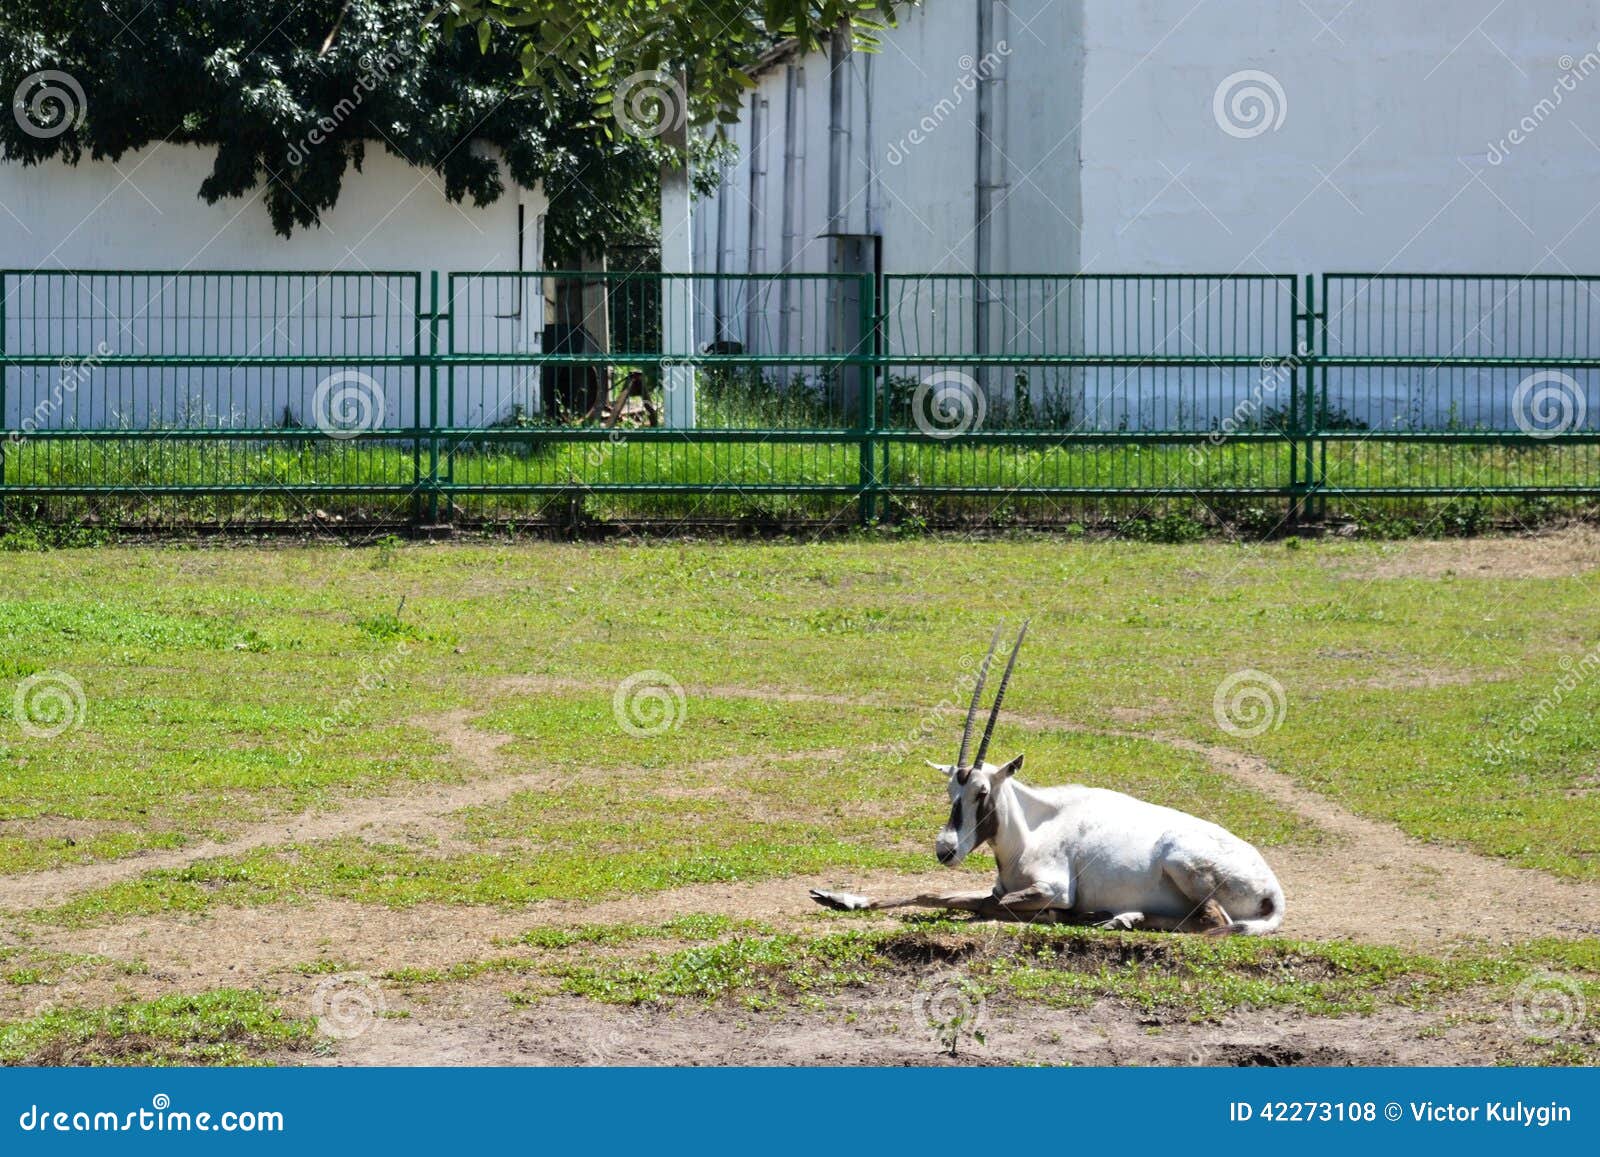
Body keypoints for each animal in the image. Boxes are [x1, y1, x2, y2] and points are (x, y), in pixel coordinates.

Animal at [811, 623, 1286, 935]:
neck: (1033, 831)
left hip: (1181, 862)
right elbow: (940, 893)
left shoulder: (1051, 888)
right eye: (950, 790)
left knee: (1212, 920)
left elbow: (975, 903)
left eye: (982, 791)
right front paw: (841, 897)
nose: (945, 850)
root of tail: (1272, 888)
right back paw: (1119, 917)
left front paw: (1060, 915)